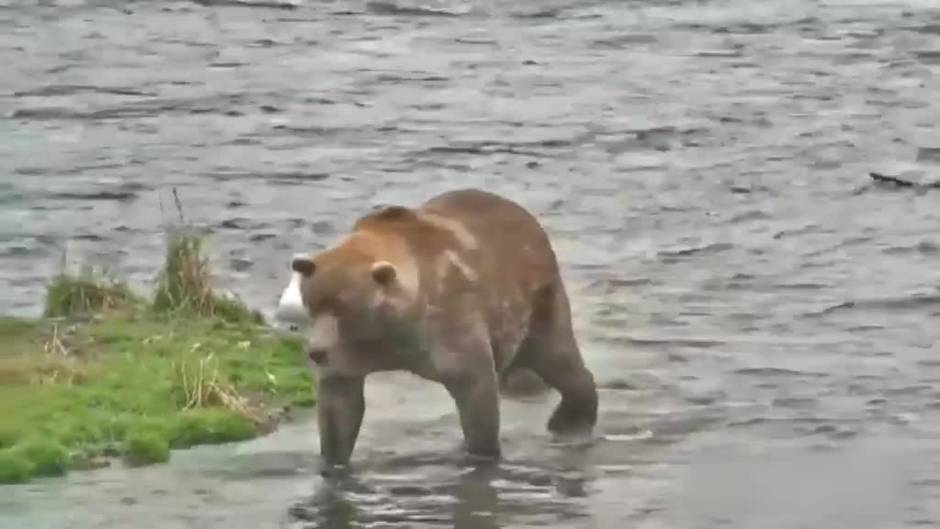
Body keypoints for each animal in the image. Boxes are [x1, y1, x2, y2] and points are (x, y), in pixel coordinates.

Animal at [275, 188, 598, 472]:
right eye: (312, 304)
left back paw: (570, 420)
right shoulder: (353, 351)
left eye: (344, 307)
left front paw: (481, 454)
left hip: (537, 302)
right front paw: (334, 461)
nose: (316, 352)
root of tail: (526, 217)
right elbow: (340, 402)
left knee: (558, 359)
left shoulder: (449, 318)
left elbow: (475, 391)